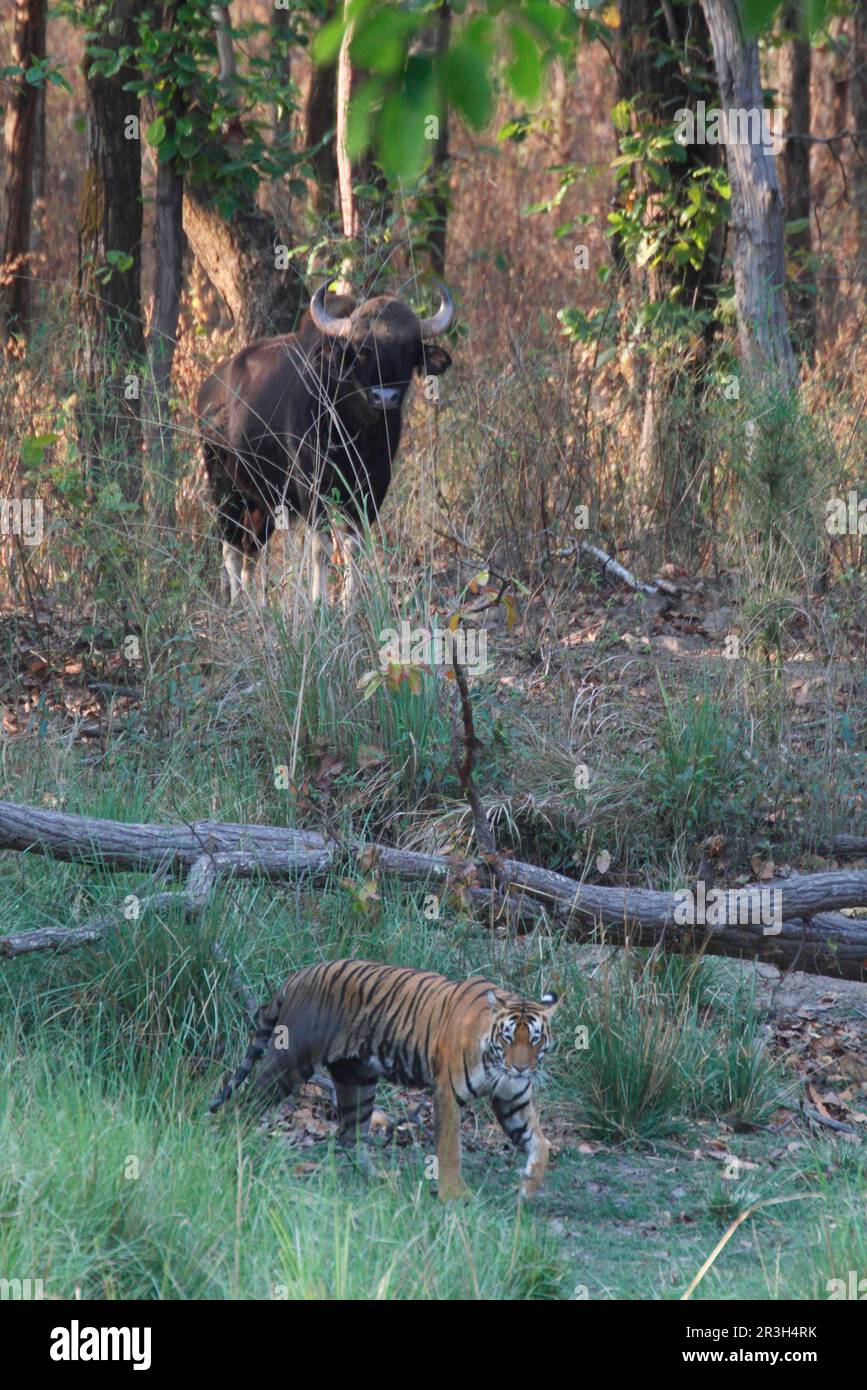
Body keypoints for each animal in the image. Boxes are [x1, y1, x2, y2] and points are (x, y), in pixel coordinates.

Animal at [209, 958, 560, 1199]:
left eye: (535, 1039)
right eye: (508, 1037)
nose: (521, 1069)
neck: (496, 1061)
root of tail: (300, 975)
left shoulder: (512, 1099)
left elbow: (538, 1142)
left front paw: (529, 1185)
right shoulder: (448, 1093)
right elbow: (450, 1150)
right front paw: (454, 1196)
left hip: (358, 1080)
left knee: (349, 1137)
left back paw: (379, 1180)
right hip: (290, 1060)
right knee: (243, 1104)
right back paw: (234, 1148)